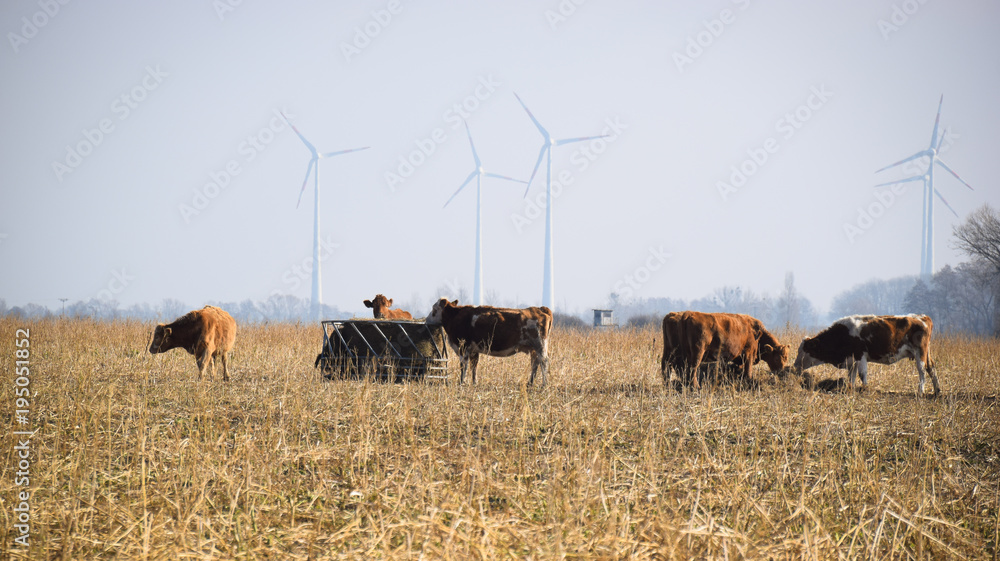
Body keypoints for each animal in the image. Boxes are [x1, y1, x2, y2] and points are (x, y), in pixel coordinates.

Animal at [793, 314, 940, 396]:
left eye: (804, 350)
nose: (795, 364)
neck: (843, 334)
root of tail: (922, 317)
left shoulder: (860, 356)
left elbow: (862, 374)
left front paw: (864, 389)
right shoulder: (851, 360)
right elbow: (851, 377)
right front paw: (850, 390)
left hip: (920, 353)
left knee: (922, 371)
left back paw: (921, 392)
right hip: (926, 353)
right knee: (931, 368)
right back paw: (937, 391)